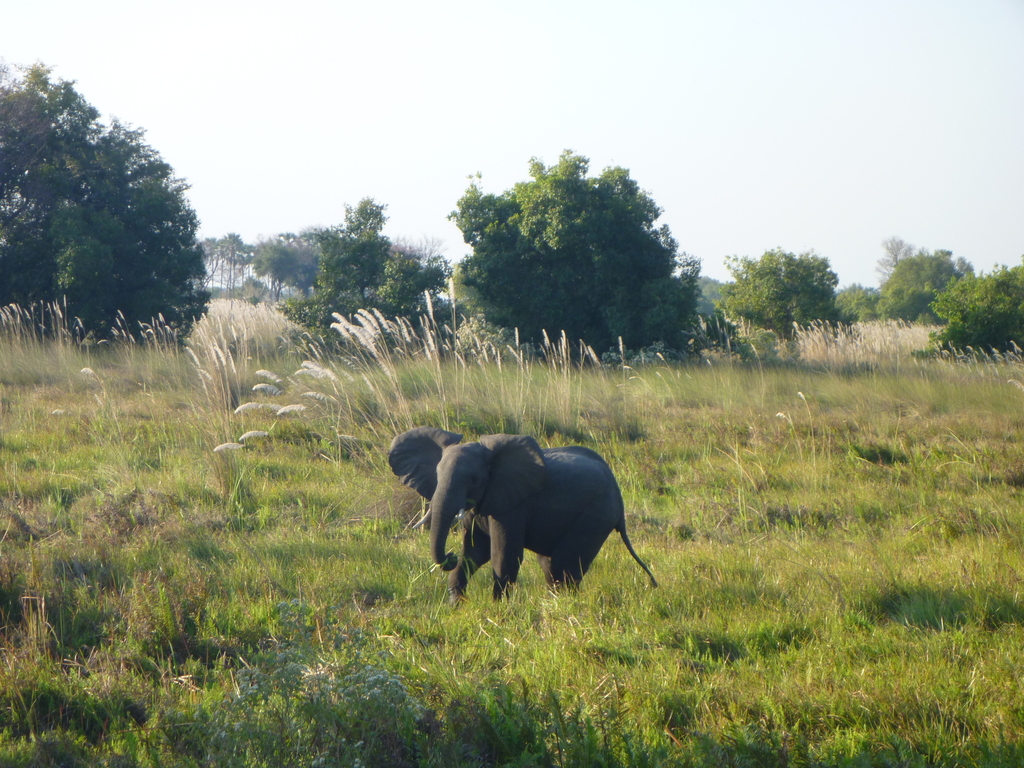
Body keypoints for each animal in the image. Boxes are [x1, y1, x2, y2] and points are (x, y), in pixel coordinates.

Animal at [388, 426, 658, 602]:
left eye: (474, 479)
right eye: (436, 474)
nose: (450, 554)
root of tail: (619, 499)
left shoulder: (513, 506)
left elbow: (503, 554)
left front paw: (498, 610)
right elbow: (474, 552)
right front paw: (456, 606)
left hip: (596, 516)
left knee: (565, 565)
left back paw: (563, 606)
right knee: (550, 565)